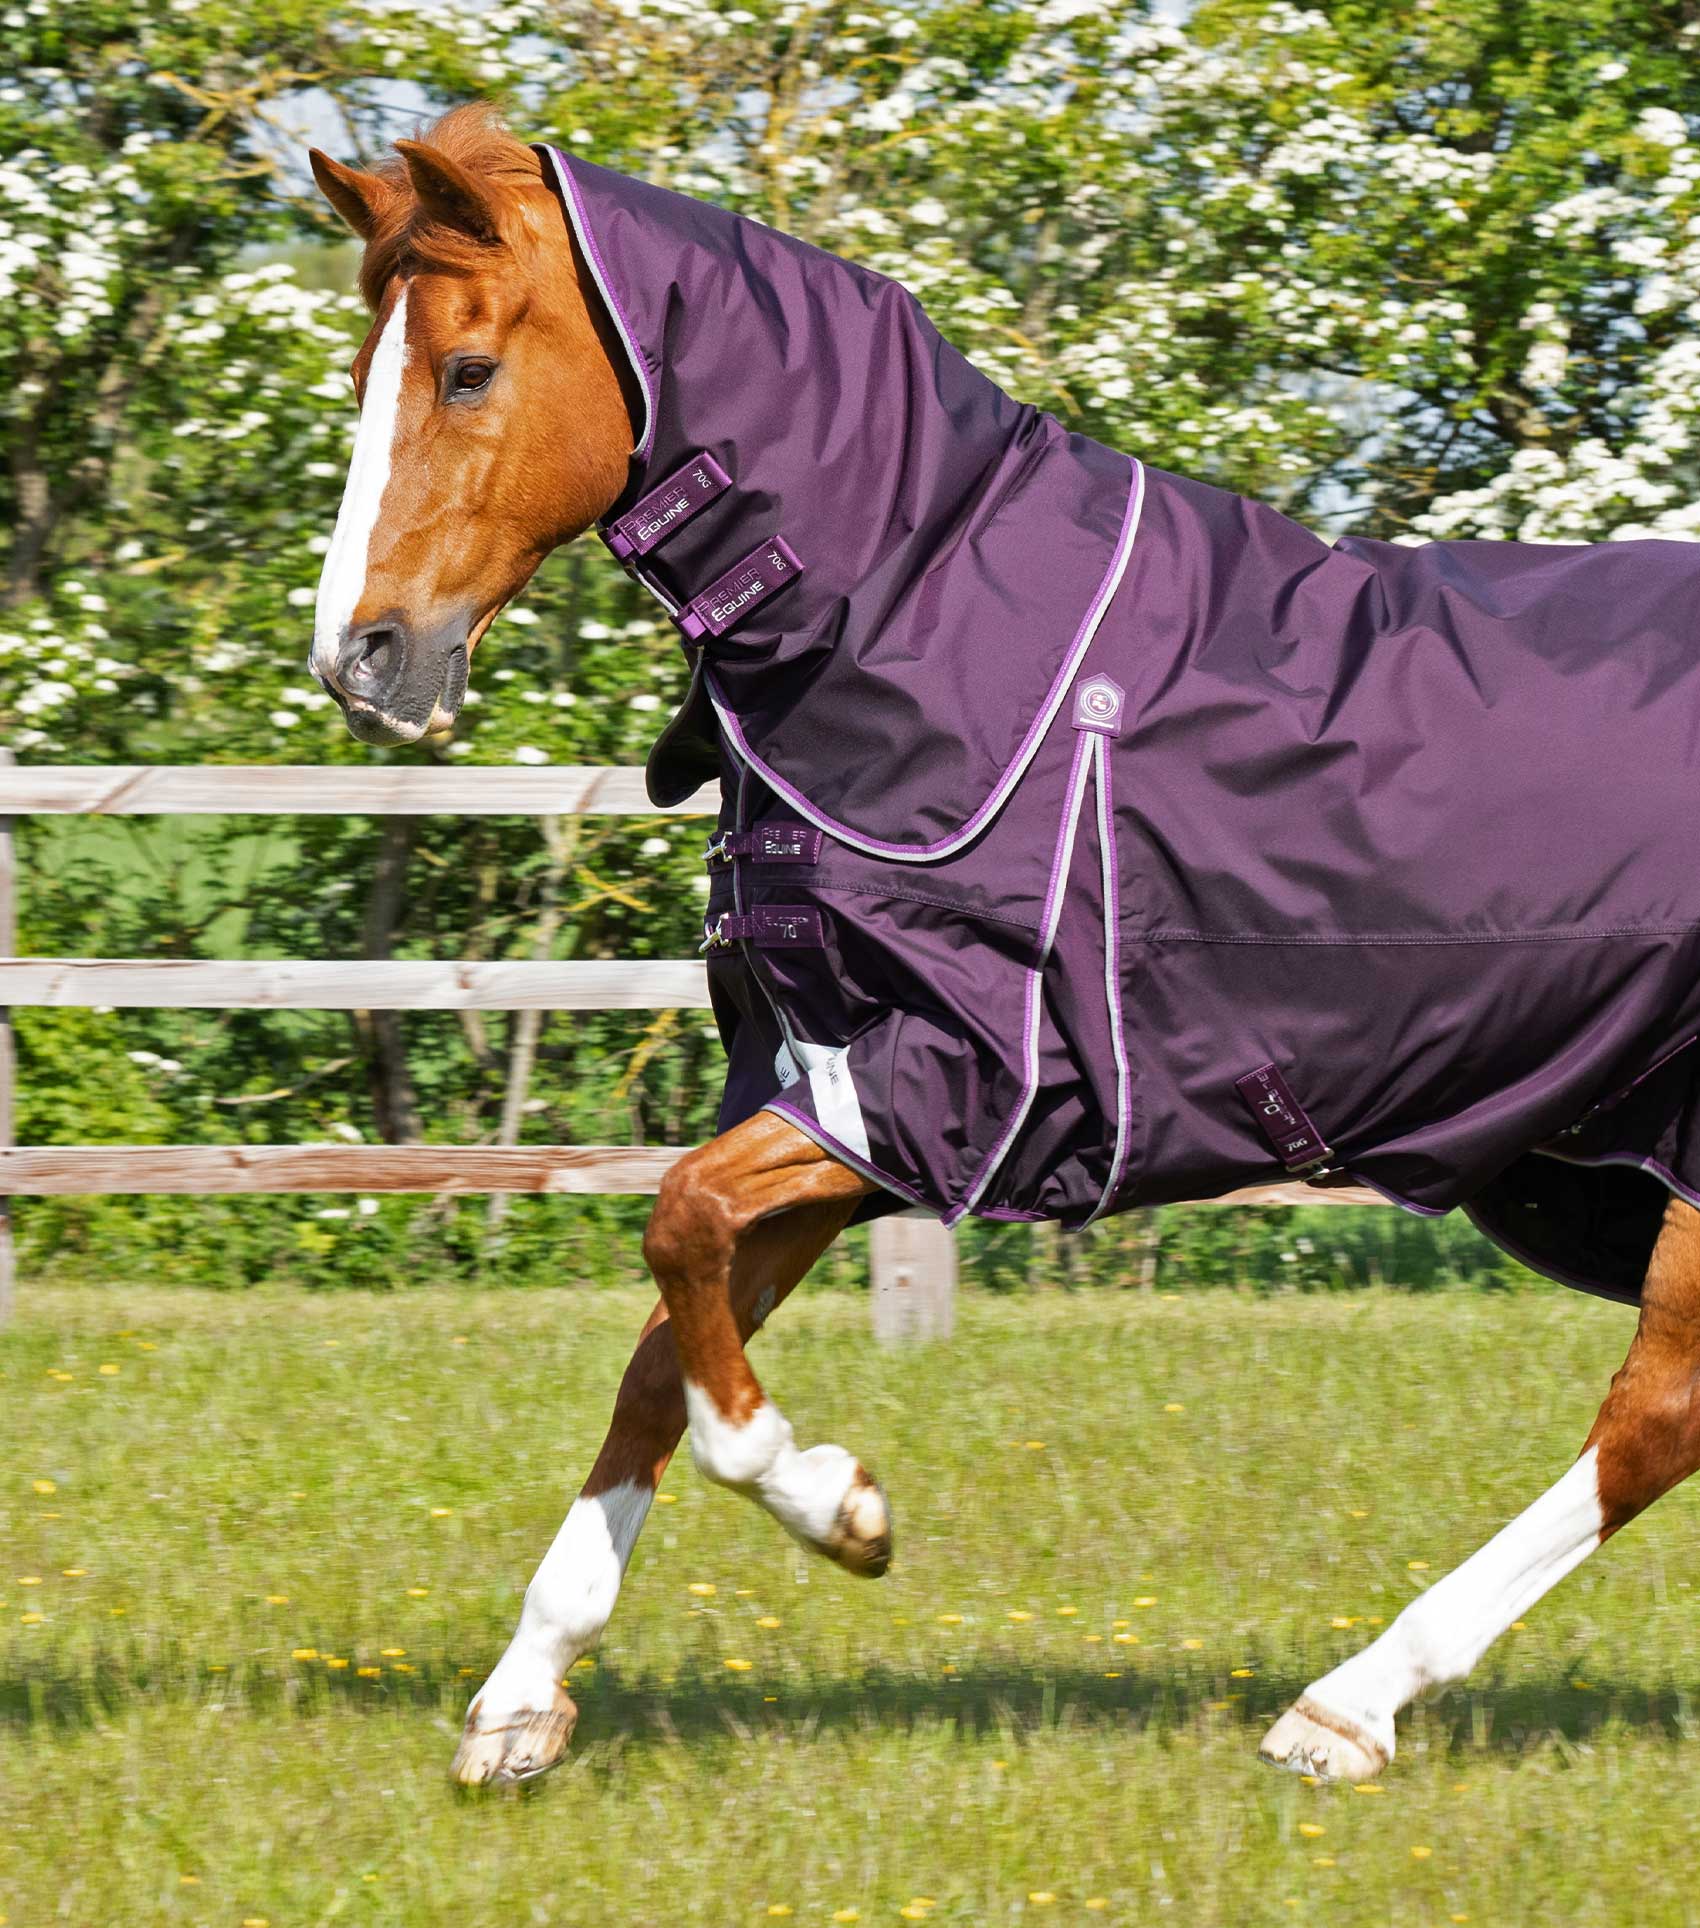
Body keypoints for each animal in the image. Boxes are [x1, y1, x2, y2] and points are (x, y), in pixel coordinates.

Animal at [307, 105, 1700, 1789]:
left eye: (465, 371)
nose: (361, 658)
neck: (915, 621)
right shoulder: (821, 1086)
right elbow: (664, 1340)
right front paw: (526, 1698)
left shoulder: (959, 1086)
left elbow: (683, 1240)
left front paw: (840, 1507)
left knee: (1652, 1416)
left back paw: (1349, 1706)